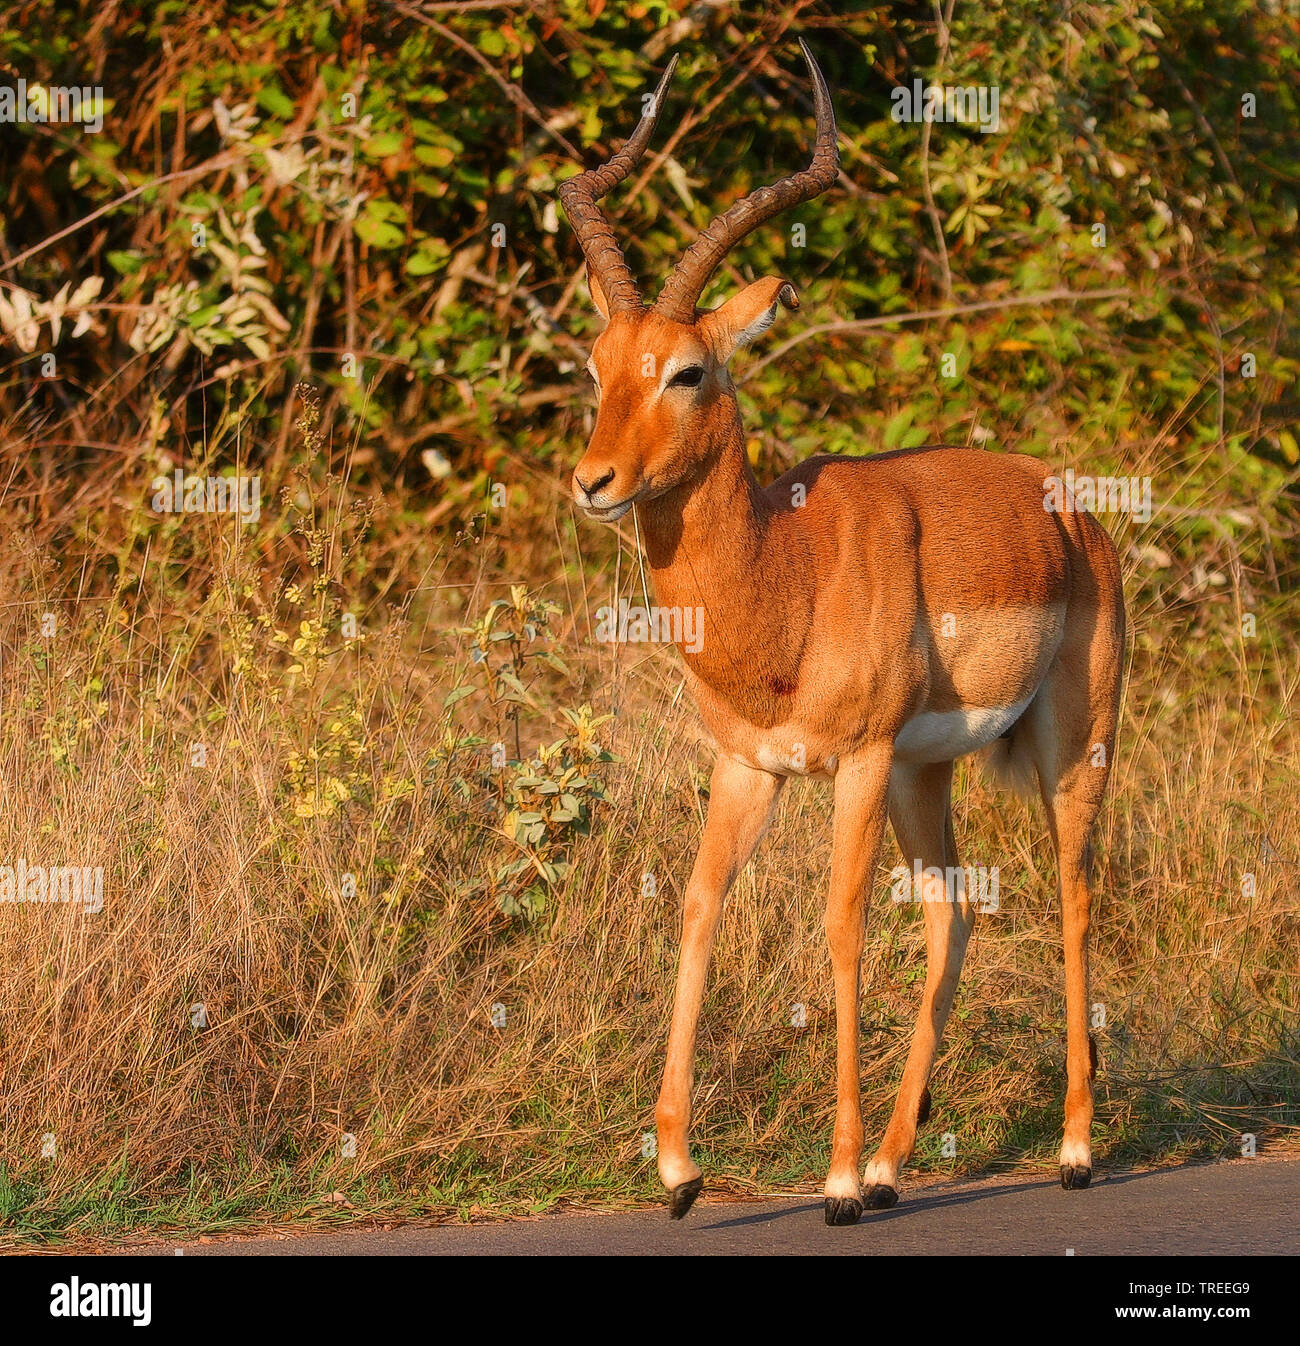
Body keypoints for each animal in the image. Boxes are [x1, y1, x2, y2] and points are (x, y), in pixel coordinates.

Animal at [558, 42, 1125, 1226]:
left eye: (687, 370)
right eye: (594, 361)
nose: (593, 481)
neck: (789, 577)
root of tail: (1074, 509)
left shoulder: (854, 760)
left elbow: (840, 923)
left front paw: (831, 1180)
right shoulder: (748, 765)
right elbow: (698, 907)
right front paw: (679, 1172)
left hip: (1070, 746)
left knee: (1076, 897)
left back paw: (1069, 1150)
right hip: (924, 773)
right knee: (954, 911)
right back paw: (897, 1161)